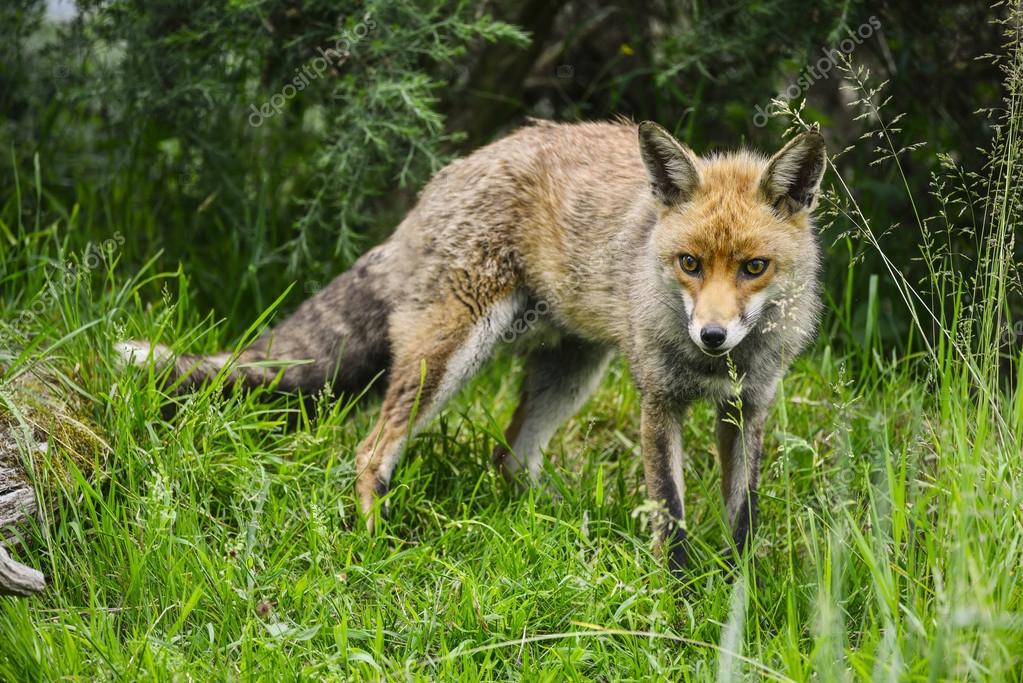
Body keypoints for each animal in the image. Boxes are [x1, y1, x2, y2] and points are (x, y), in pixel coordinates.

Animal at [118, 119, 825, 573]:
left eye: (754, 268)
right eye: (689, 264)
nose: (712, 336)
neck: (718, 366)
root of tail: (446, 175)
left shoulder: (749, 406)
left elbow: (741, 519)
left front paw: (735, 600)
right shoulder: (660, 402)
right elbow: (671, 520)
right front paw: (677, 605)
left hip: (573, 369)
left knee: (510, 458)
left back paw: (558, 525)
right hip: (449, 353)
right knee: (370, 453)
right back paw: (372, 552)